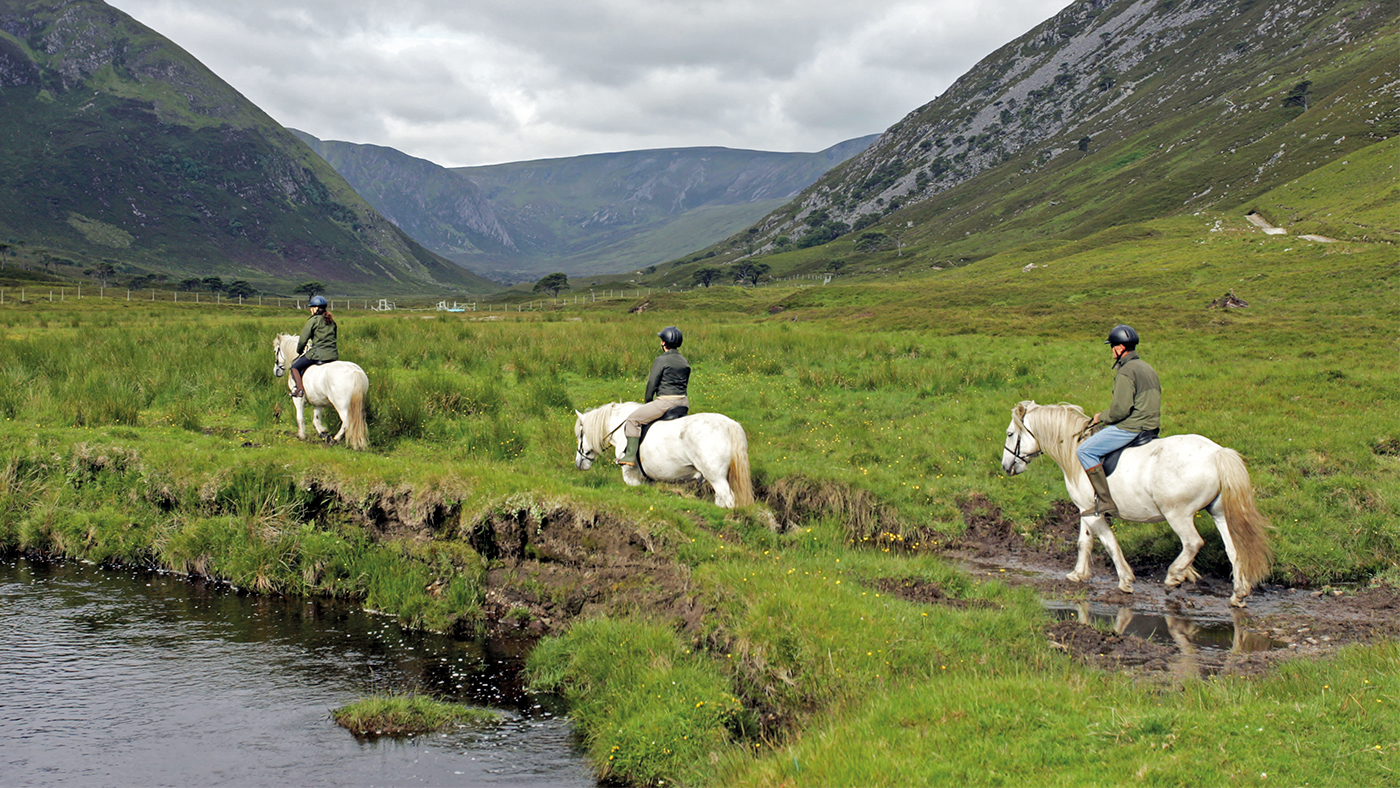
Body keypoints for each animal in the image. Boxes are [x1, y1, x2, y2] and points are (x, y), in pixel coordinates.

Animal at [573, 402, 754, 508]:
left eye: (580, 435)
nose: (578, 464)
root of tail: (729, 424)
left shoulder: (631, 476)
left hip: (716, 477)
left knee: (728, 499)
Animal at [1000, 400, 1271, 607]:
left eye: (1010, 434)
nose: (1005, 466)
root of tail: (1216, 453)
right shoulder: (1085, 511)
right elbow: (1083, 543)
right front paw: (1077, 575)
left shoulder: (1094, 514)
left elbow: (1110, 544)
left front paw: (1125, 581)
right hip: (1219, 513)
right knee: (1233, 550)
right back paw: (1238, 594)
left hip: (1178, 514)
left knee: (1193, 543)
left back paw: (1174, 577)